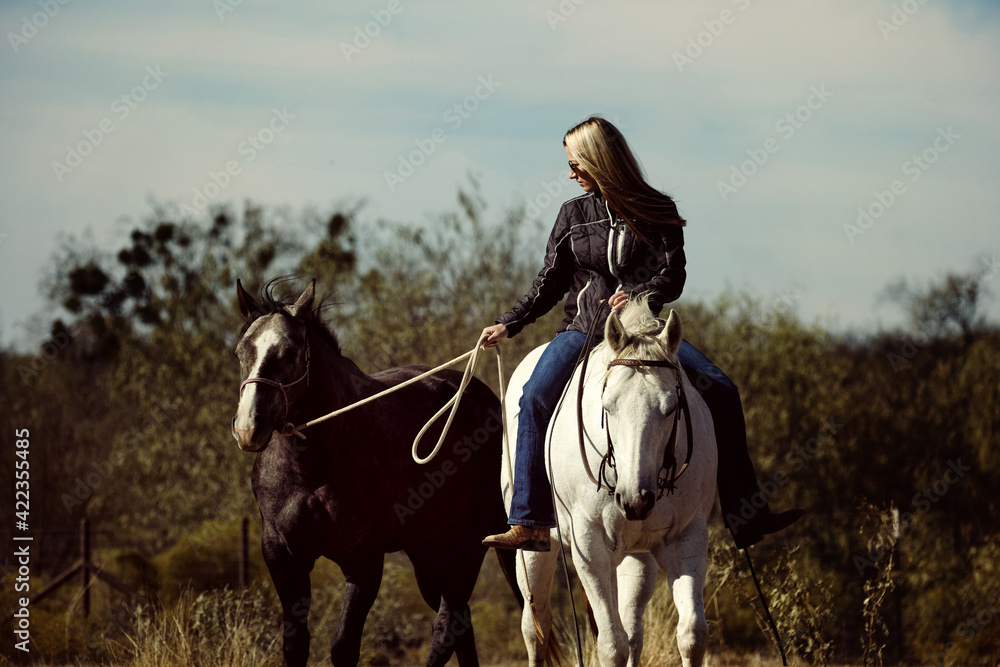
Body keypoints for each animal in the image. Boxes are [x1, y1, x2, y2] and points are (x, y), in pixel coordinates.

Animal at [231, 279, 519, 667]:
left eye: (290, 352)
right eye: (240, 352)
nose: (249, 427)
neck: (311, 472)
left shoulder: (364, 562)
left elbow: (343, 646)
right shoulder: (282, 555)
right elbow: (295, 645)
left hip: (474, 540)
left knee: (454, 626)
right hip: (429, 551)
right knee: (460, 623)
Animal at [503, 297, 718, 667]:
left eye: (671, 407)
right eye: (608, 405)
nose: (635, 499)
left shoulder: (687, 539)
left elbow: (692, 634)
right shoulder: (591, 546)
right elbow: (611, 645)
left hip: (636, 558)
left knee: (633, 632)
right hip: (534, 551)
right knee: (536, 628)